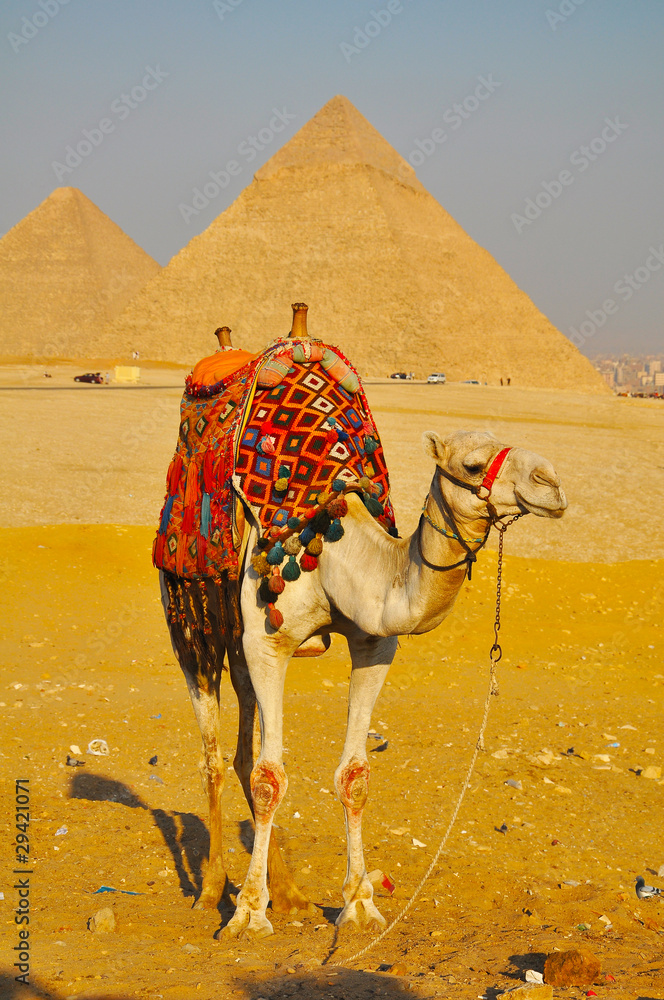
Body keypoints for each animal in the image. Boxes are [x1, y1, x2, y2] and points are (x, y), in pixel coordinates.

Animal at [160, 315, 567, 941]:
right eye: (472, 466)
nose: (551, 482)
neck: (336, 540)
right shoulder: (268, 640)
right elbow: (272, 777)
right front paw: (248, 912)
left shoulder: (373, 643)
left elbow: (352, 775)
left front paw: (357, 904)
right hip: (193, 619)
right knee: (214, 751)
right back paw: (212, 892)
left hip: (238, 645)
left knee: (243, 750)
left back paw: (292, 894)